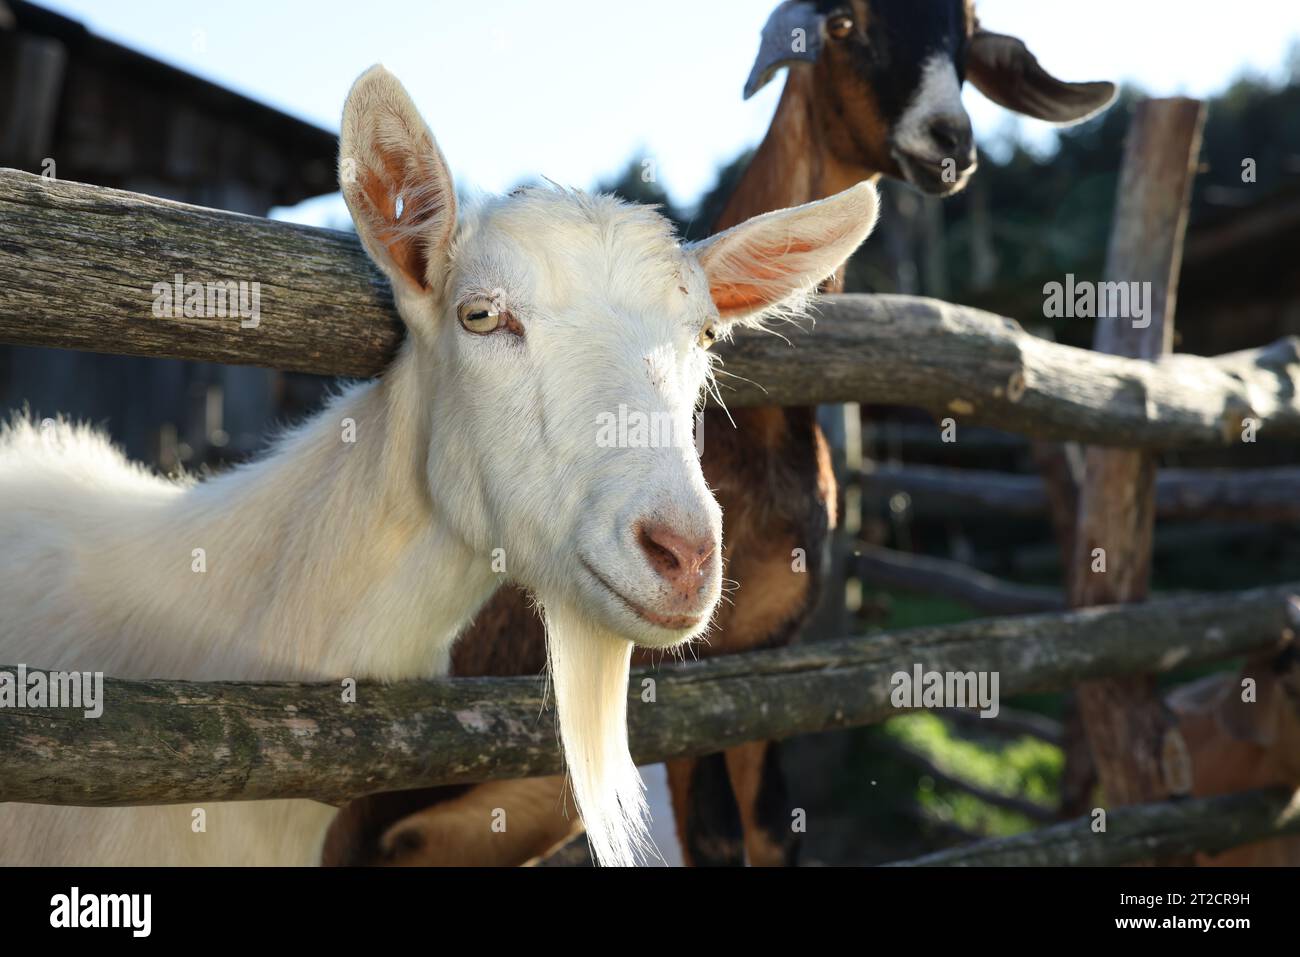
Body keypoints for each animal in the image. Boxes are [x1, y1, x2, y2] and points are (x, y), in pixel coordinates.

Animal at [321, 1, 1115, 867]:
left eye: (966, 37)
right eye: (843, 25)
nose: (948, 139)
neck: (759, 438)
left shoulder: (761, 671)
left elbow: (770, 830)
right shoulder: (682, 682)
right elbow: (717, 836)